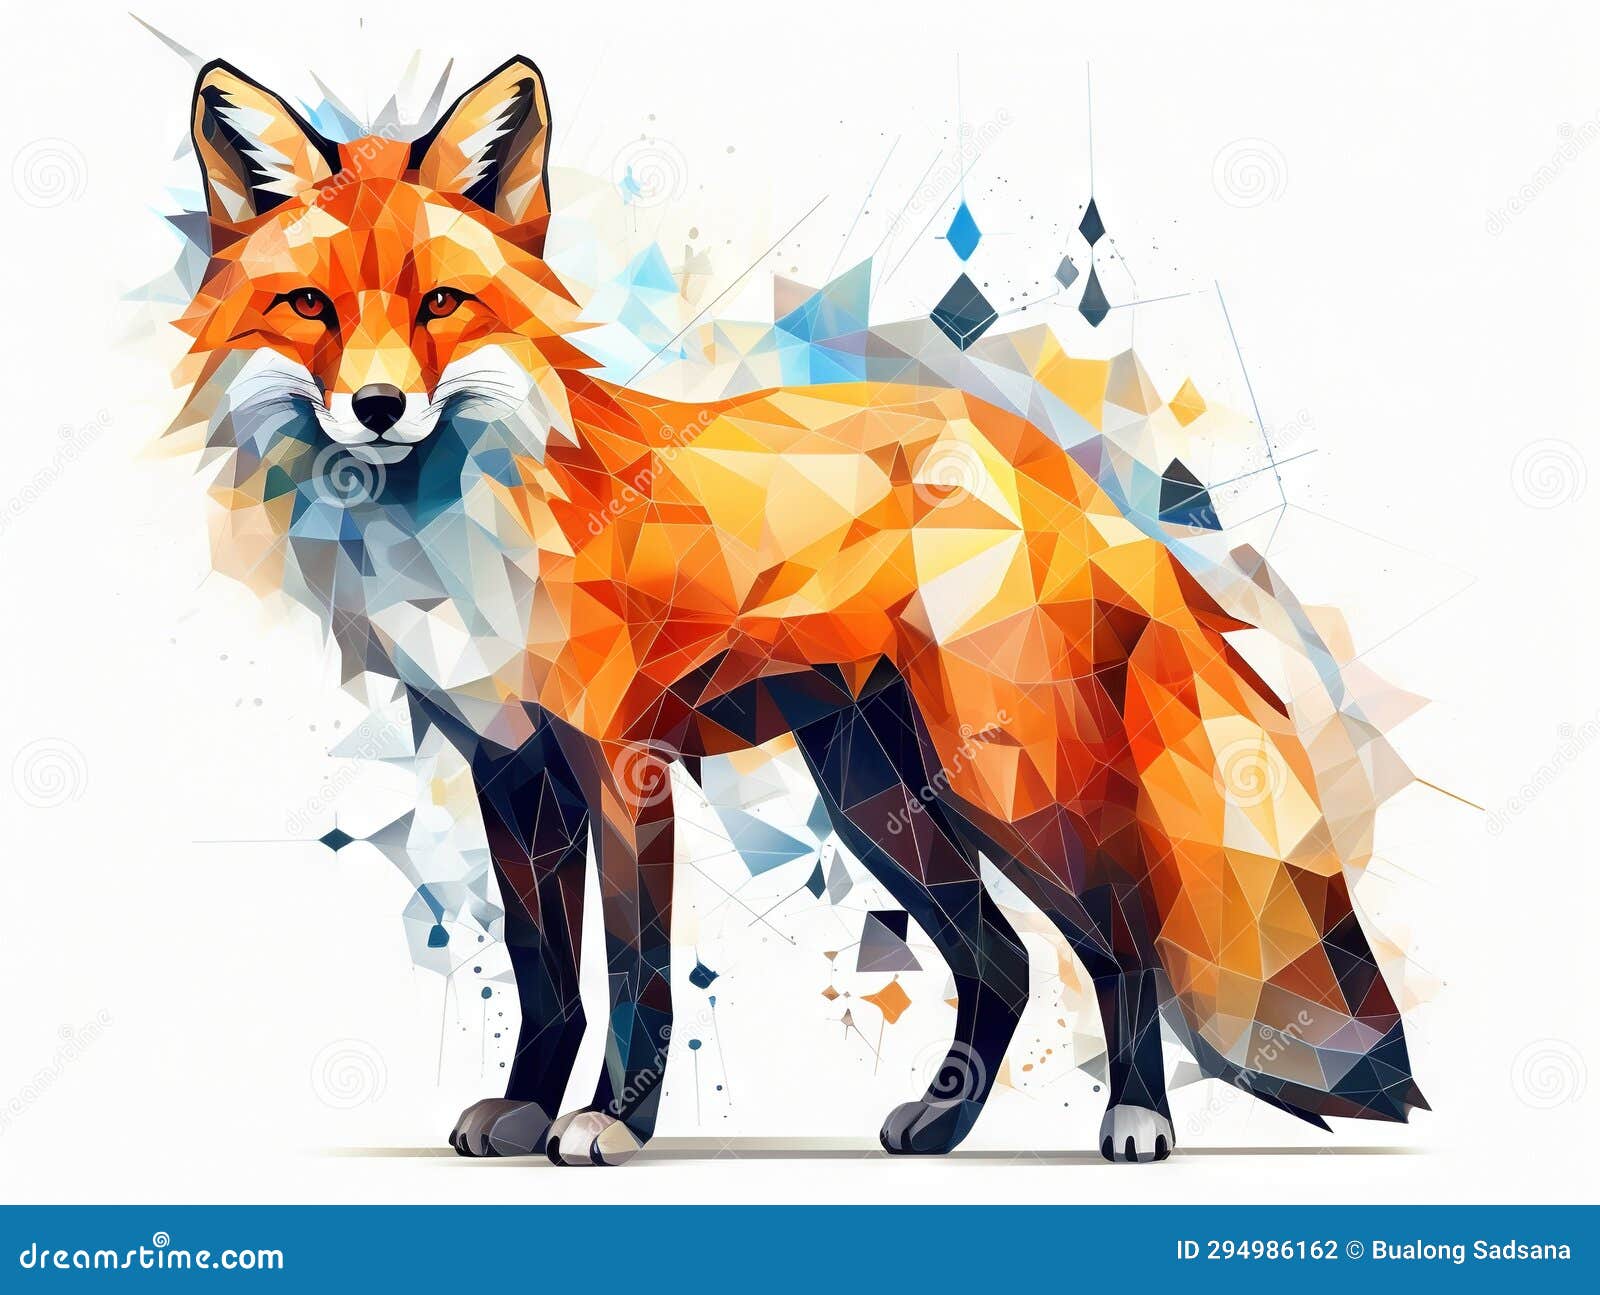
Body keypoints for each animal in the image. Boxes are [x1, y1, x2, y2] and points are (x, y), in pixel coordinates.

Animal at [176, 55, 1427, 1165]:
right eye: (309, 305)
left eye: (442, 301)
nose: (379, 406)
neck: (467, 525)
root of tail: (1042, 455)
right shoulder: (509, 766)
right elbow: (544, 975)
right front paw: (528, 1105)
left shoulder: (618, 760)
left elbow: (632, 967)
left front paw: (612, 1123)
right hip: (880, 793)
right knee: (1003, 961)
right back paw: (944, 1123)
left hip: (1008, 781)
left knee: (1121, 942)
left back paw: (1136, 1120)